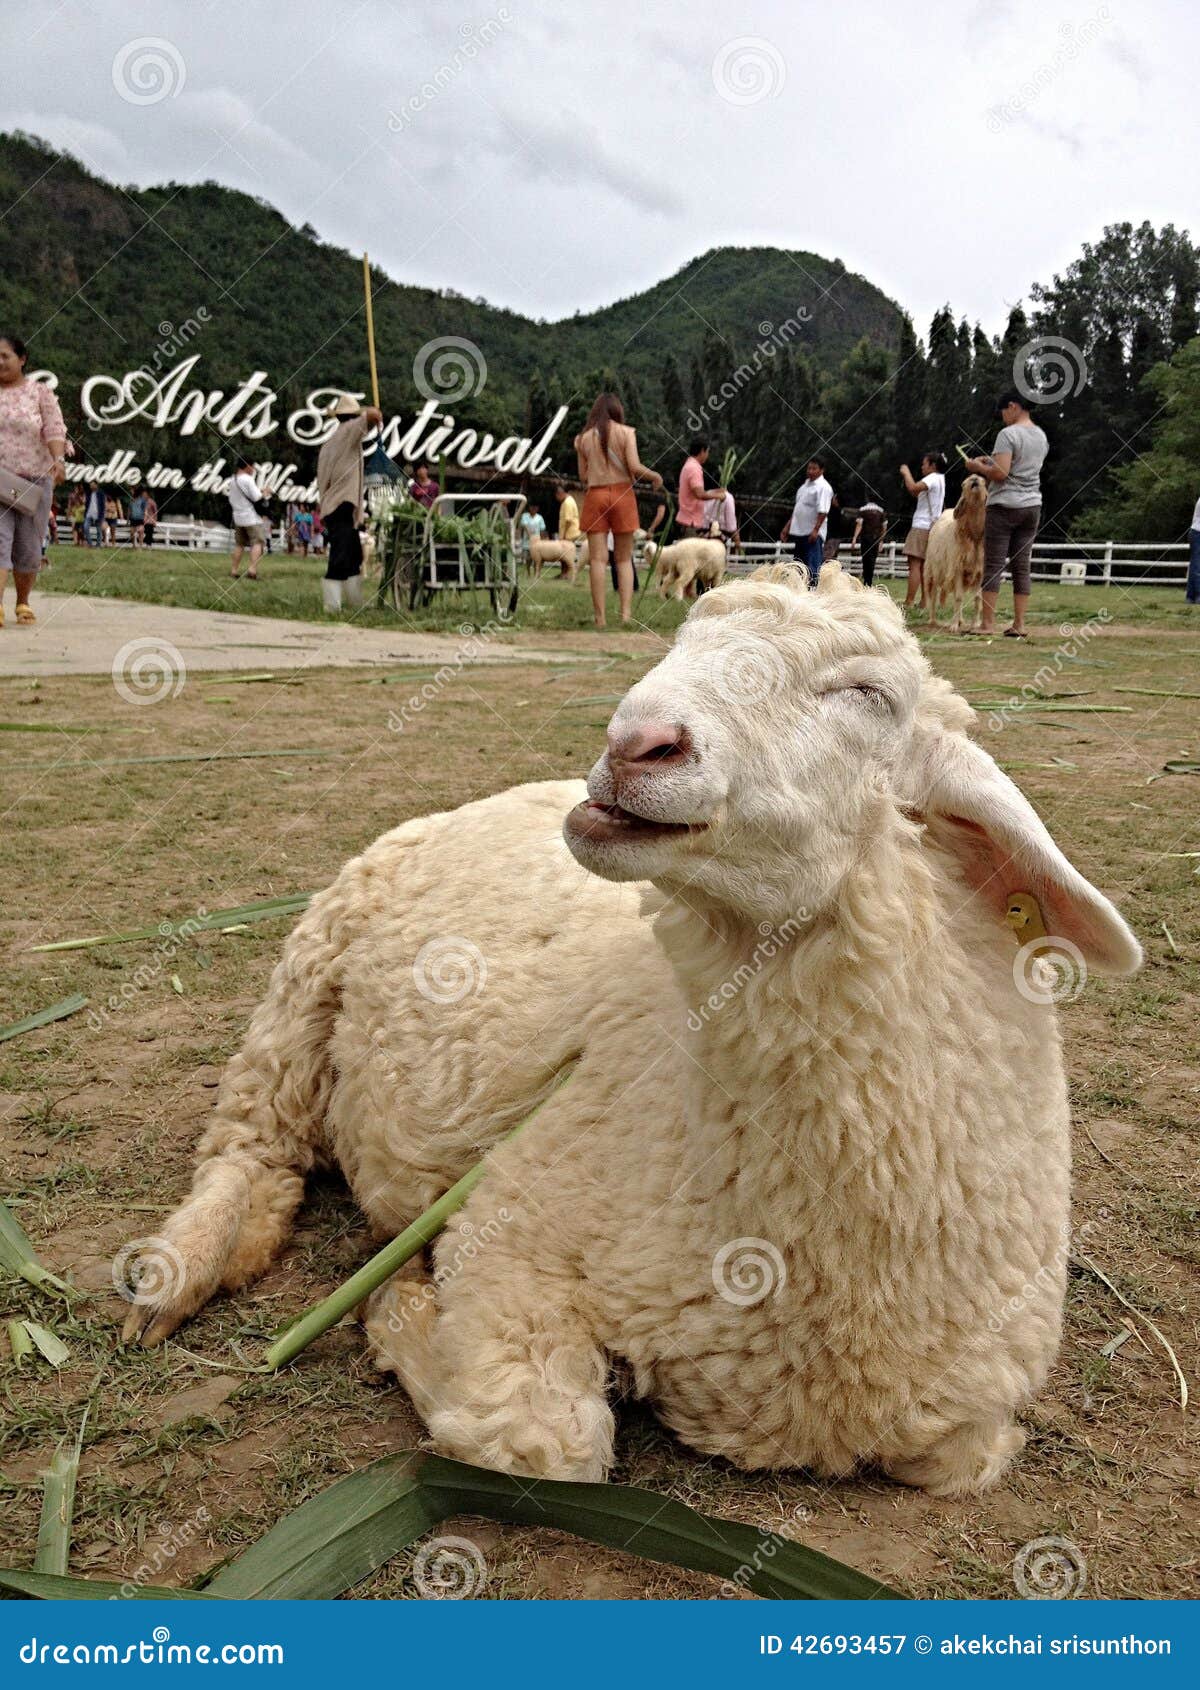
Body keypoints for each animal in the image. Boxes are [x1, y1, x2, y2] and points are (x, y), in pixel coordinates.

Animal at [123, 561, 1141, 1500]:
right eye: (684, 637)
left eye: (869, 694)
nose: (633, 743)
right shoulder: (514, 1226)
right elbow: (544, 1441)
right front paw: (398, 1310)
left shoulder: (972, 1416)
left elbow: (968, 1459)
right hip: (305, 979)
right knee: (249, 1148)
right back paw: (182, 1269)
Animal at [924, 474, 987, 633]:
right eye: (963, 484)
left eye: (983, 481)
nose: (974, 478)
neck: (973, 536)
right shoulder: (957, 568)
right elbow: (958, 597)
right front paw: (953, 626)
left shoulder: (980, 571)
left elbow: (977, 598)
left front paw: (975, 624)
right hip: (934, 570)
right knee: (934, 594)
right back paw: (933, 620)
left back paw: (961, 620)